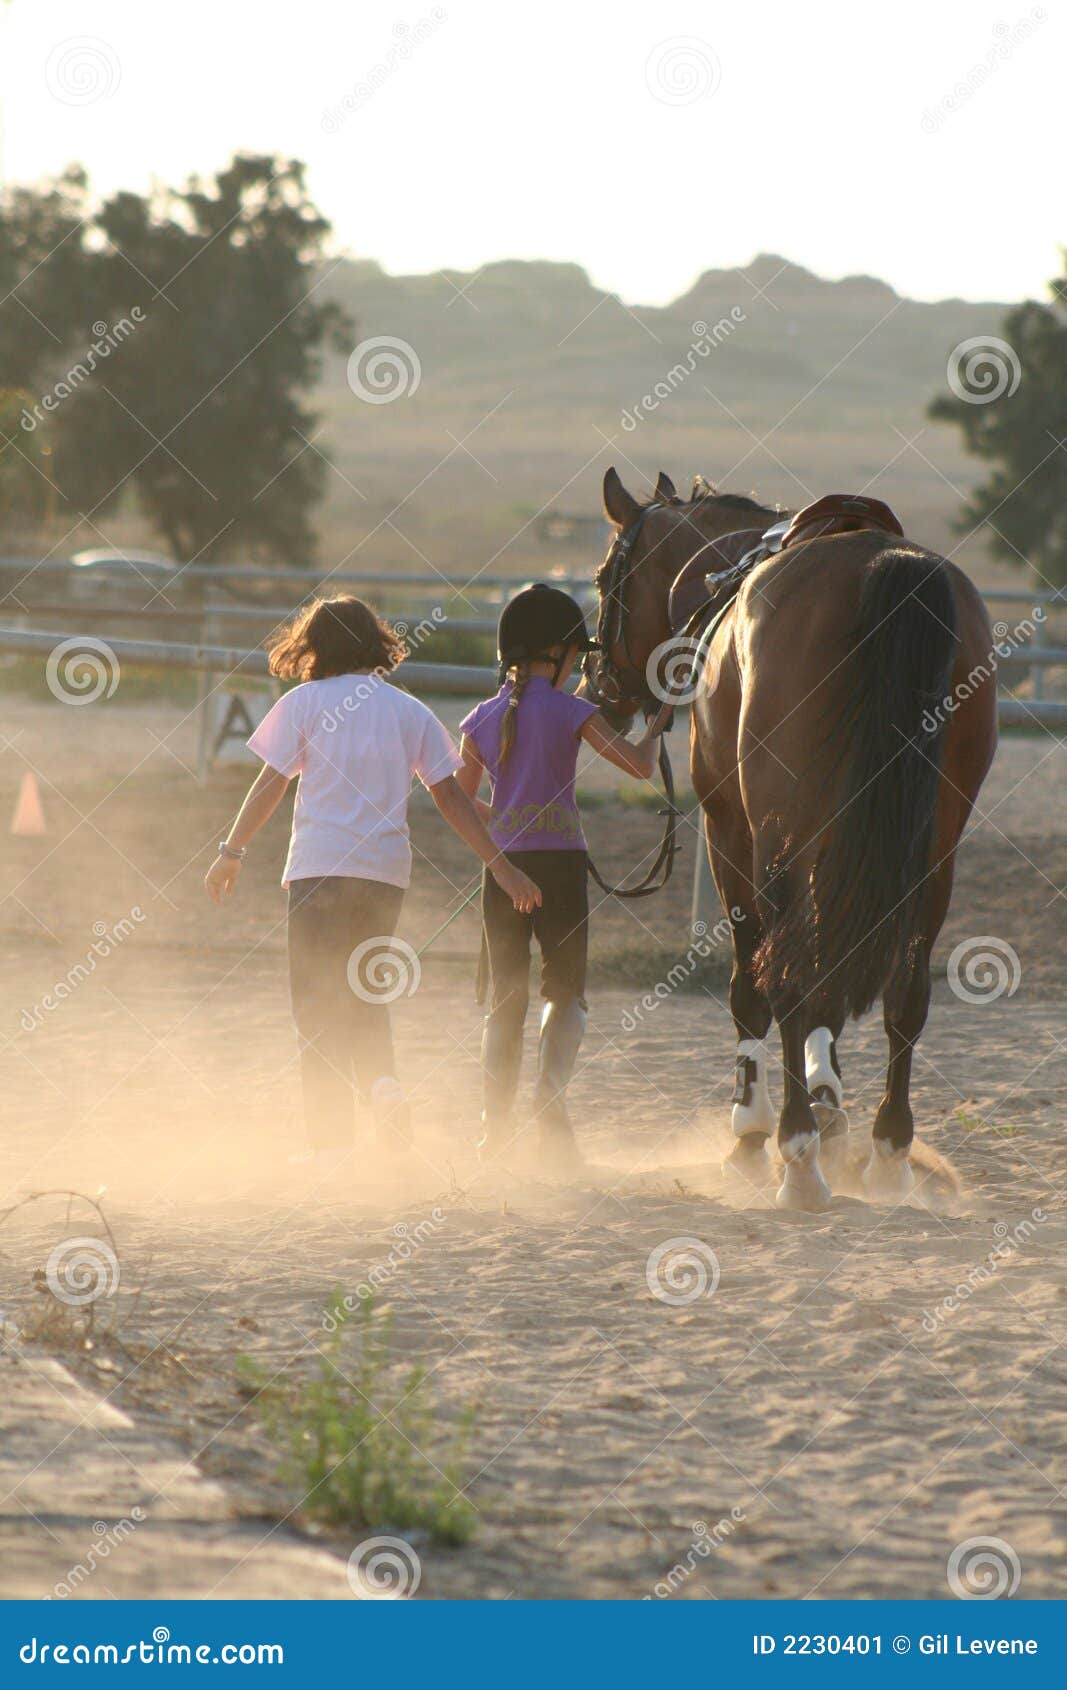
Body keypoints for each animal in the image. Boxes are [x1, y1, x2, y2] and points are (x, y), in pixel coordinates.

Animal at [586, 467, 998, 1210]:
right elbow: (831, 974)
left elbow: (752, 985)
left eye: (607, 578)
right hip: (932, 851)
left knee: (784, 981)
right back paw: (888, 1154)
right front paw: (831, 1104)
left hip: (775, 835)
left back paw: (795, 1154)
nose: (597, 687)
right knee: (905, 992)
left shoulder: (729, 828)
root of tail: (887, 569)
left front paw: (755, 1128)